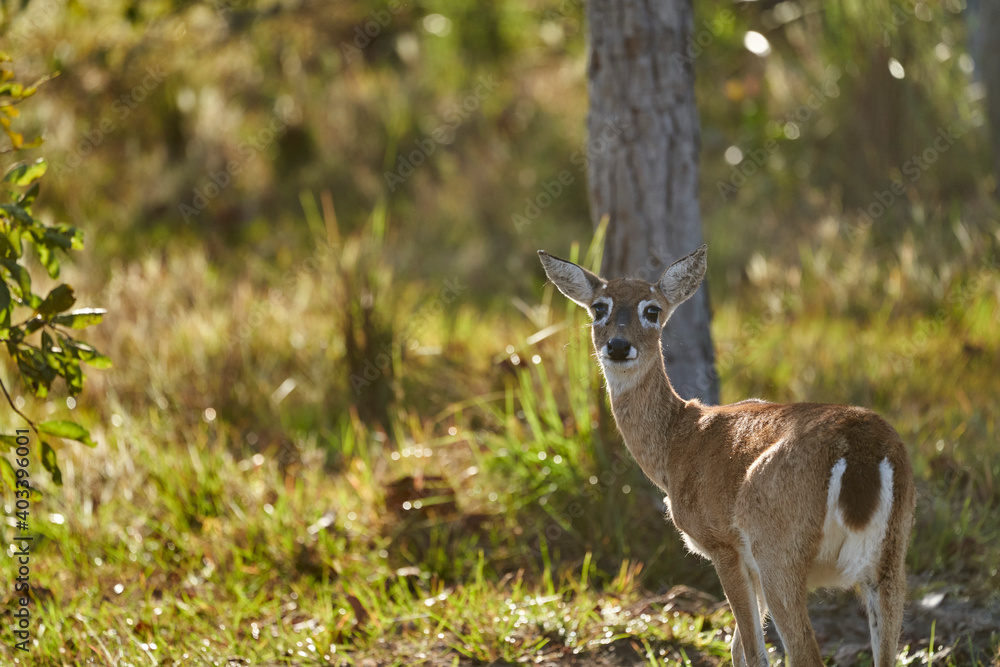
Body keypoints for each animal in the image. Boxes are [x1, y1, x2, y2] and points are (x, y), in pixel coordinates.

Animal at [538, 245, 915, 667]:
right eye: (599, 307)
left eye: (652, 310)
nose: (618, 346)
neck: (675, 444)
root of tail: (861, 448)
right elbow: (738, 647)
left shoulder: (722, 543)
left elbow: (752, 651)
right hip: (892, 555)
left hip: (778, 546)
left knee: (804, 653)